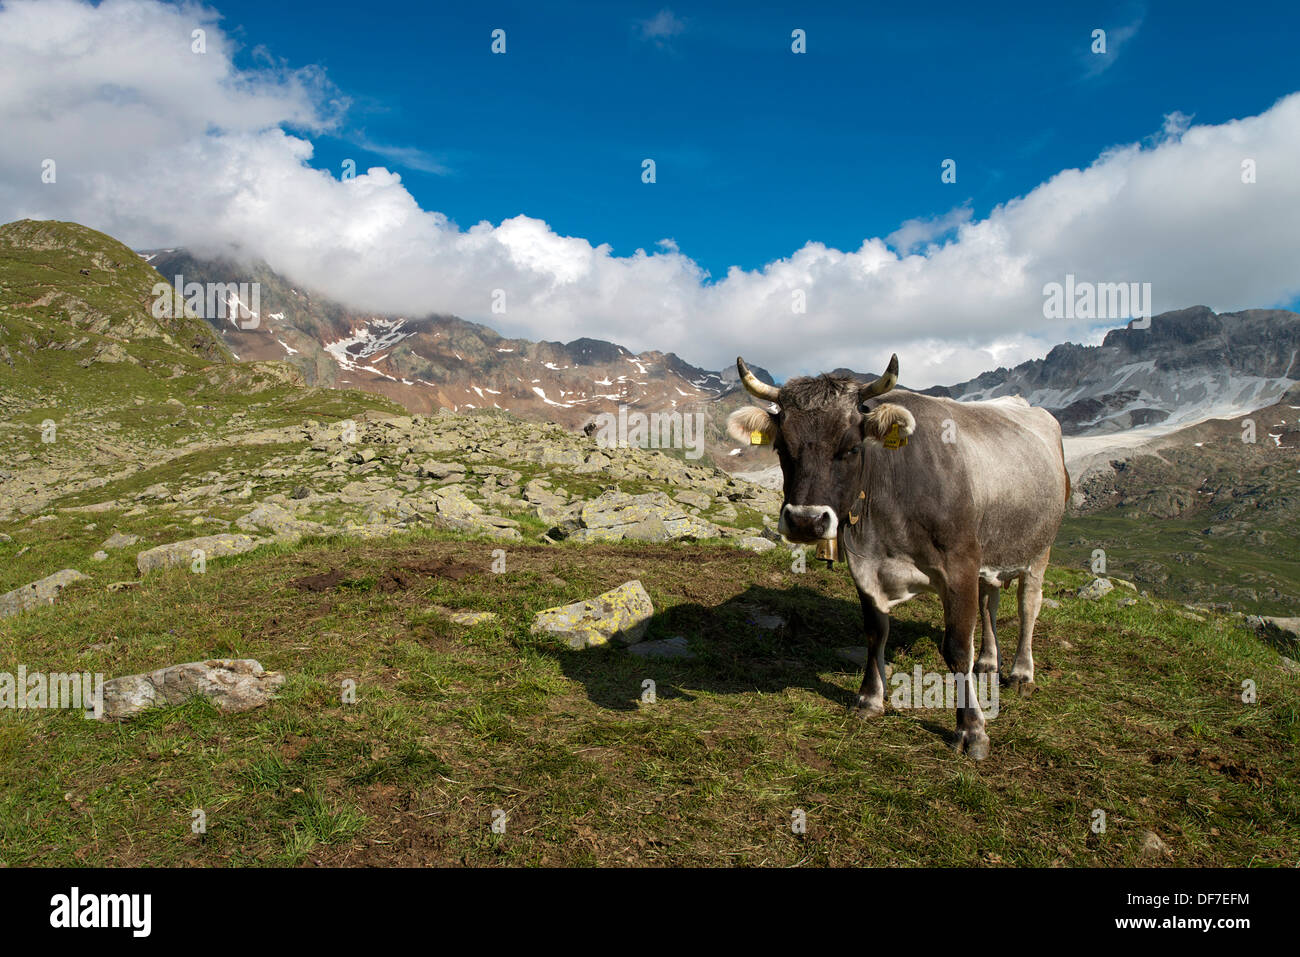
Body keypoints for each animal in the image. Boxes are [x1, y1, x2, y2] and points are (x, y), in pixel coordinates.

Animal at [727, 354, 1069, 759]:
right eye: (782, 448)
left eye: (852, 448)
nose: (805, 521)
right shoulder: (866, 565)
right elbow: (876, 632)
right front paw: (870, 698)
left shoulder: (961, 565)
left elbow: (957, 648)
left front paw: (971, 728)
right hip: (992, 548)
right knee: (991, 601)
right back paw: (988, 660)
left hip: (1040, 546)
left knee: (1028, 605)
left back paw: (1020, 672)